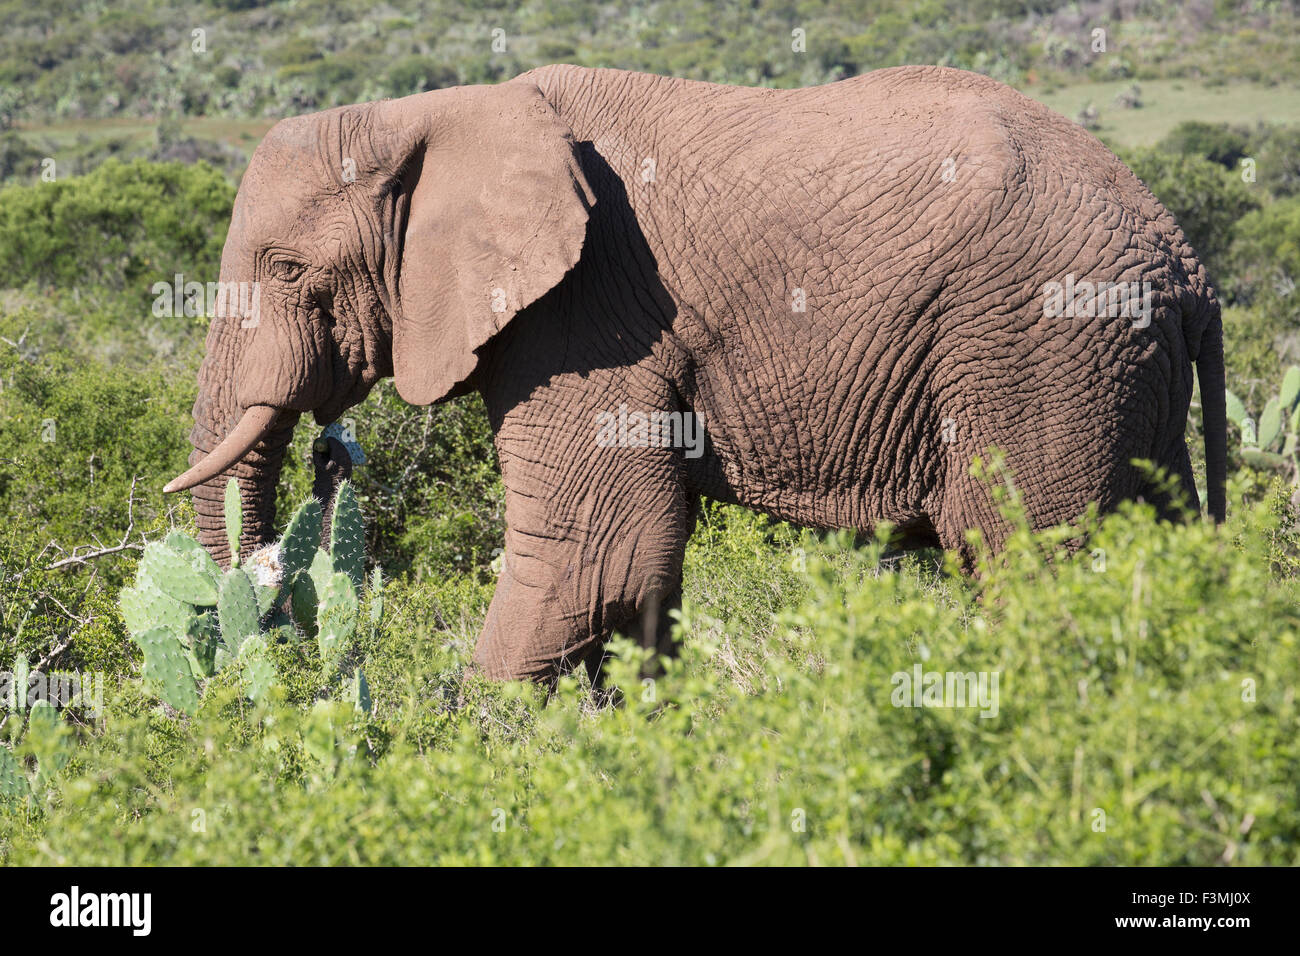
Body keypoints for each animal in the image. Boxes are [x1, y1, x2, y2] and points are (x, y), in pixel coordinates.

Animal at [165, 63, 1226, 683]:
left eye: (287, 271)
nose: (331, 456)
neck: (429, 114)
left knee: (1032, 562)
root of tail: (1186, 262)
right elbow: (633, 569)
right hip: (1114, 370)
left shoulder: (589, 312)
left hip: (1043, 346)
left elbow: (598, 550)